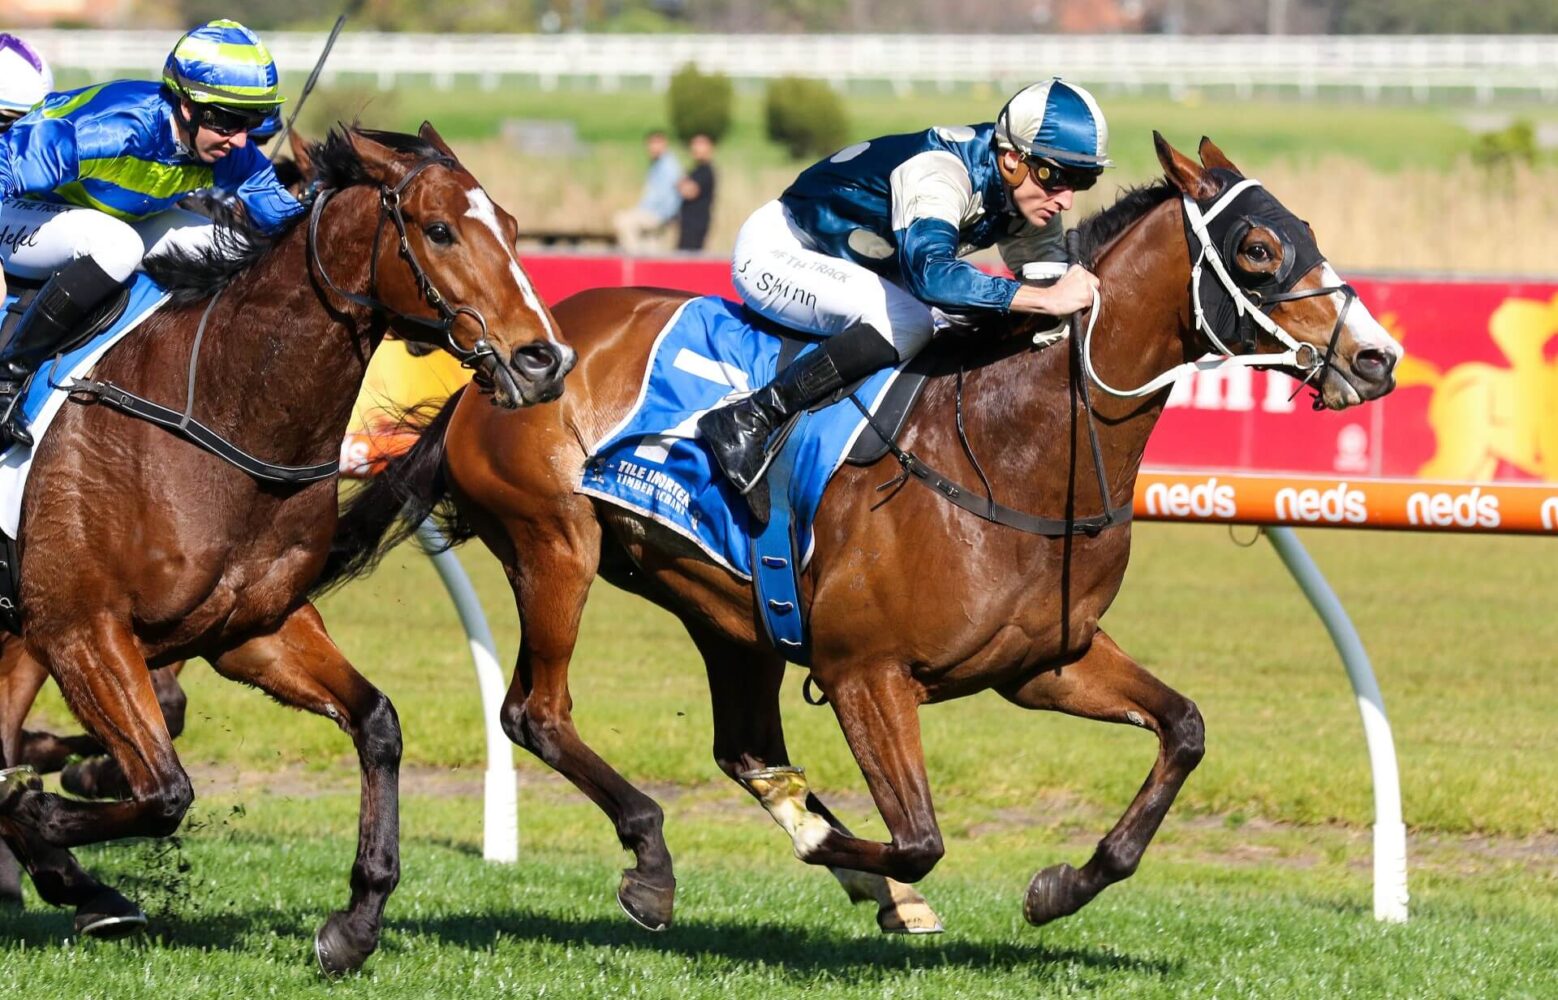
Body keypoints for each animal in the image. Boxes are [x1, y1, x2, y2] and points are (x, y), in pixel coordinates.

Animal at [0, 123, 572, 973]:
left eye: (507, 224)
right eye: (439, 230)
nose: (544, 361)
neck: (220, 413)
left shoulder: (251, 628)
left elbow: (377, 723)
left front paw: (354, 923)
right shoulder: (81, 627)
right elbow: (163, 791)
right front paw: (53, 821)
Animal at [316, 134, 1400, 935]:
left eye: (1304, 231)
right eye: (1257, 250)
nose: (1377, 358)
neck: (1011, 441)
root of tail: (496, 365)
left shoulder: (1043, 661)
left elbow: (1184, 728)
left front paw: (1061, 886)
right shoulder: (863, 672)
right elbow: (920, 832)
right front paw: (842, 853)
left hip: (725, 604)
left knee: (744, 745)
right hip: (555, 544)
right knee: (536, 712)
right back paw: (660, 859)